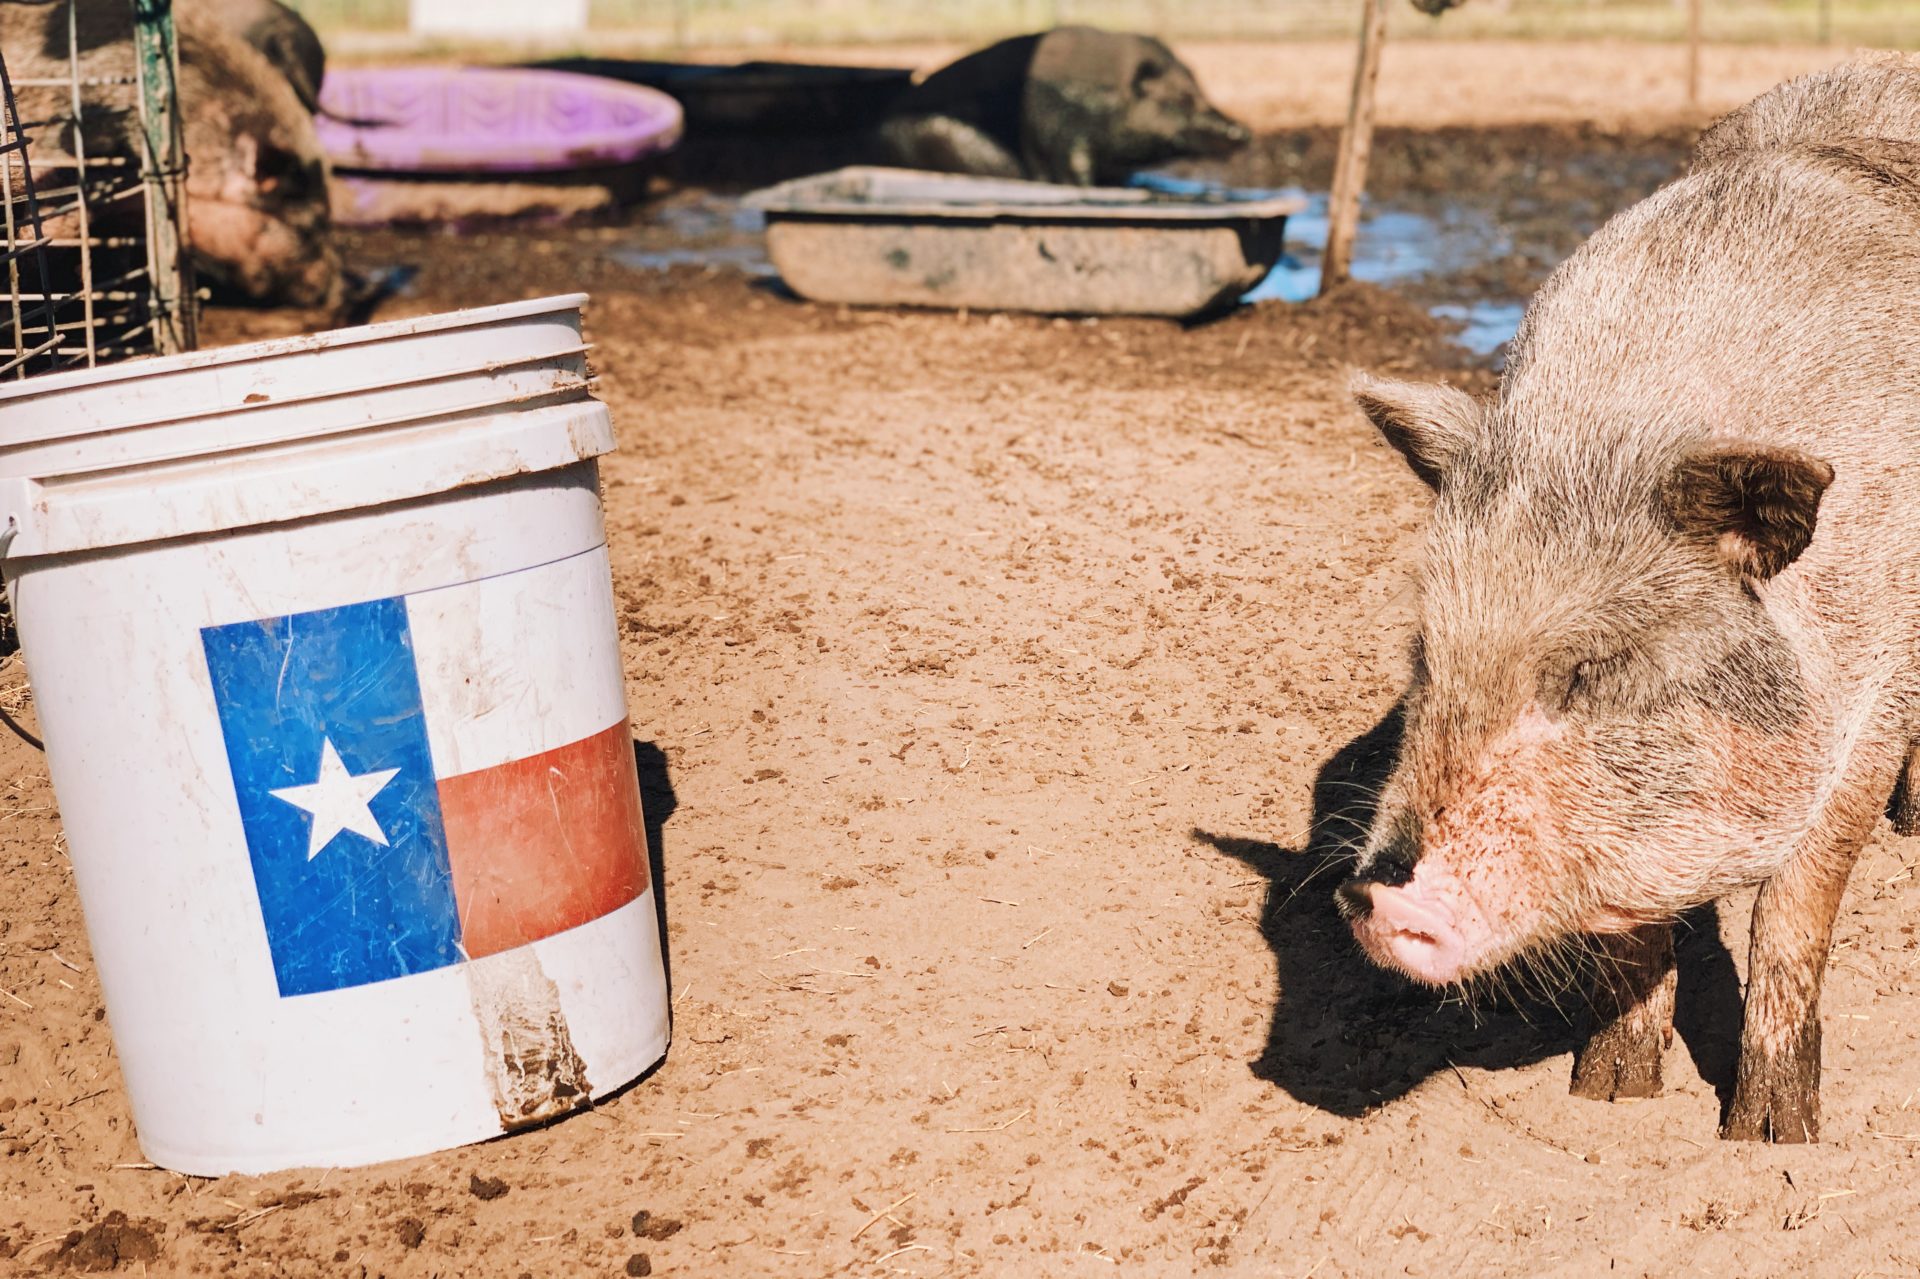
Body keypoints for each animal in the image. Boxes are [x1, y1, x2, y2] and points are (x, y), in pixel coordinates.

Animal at [1334, 54, 1920, 1142]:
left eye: (1593, 671)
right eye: (1427, 659)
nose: (1371, 897)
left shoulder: (1878, 681)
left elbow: (1796, 906)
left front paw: (1769, 1135)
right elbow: (1635, 936)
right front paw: (1606, 1096)